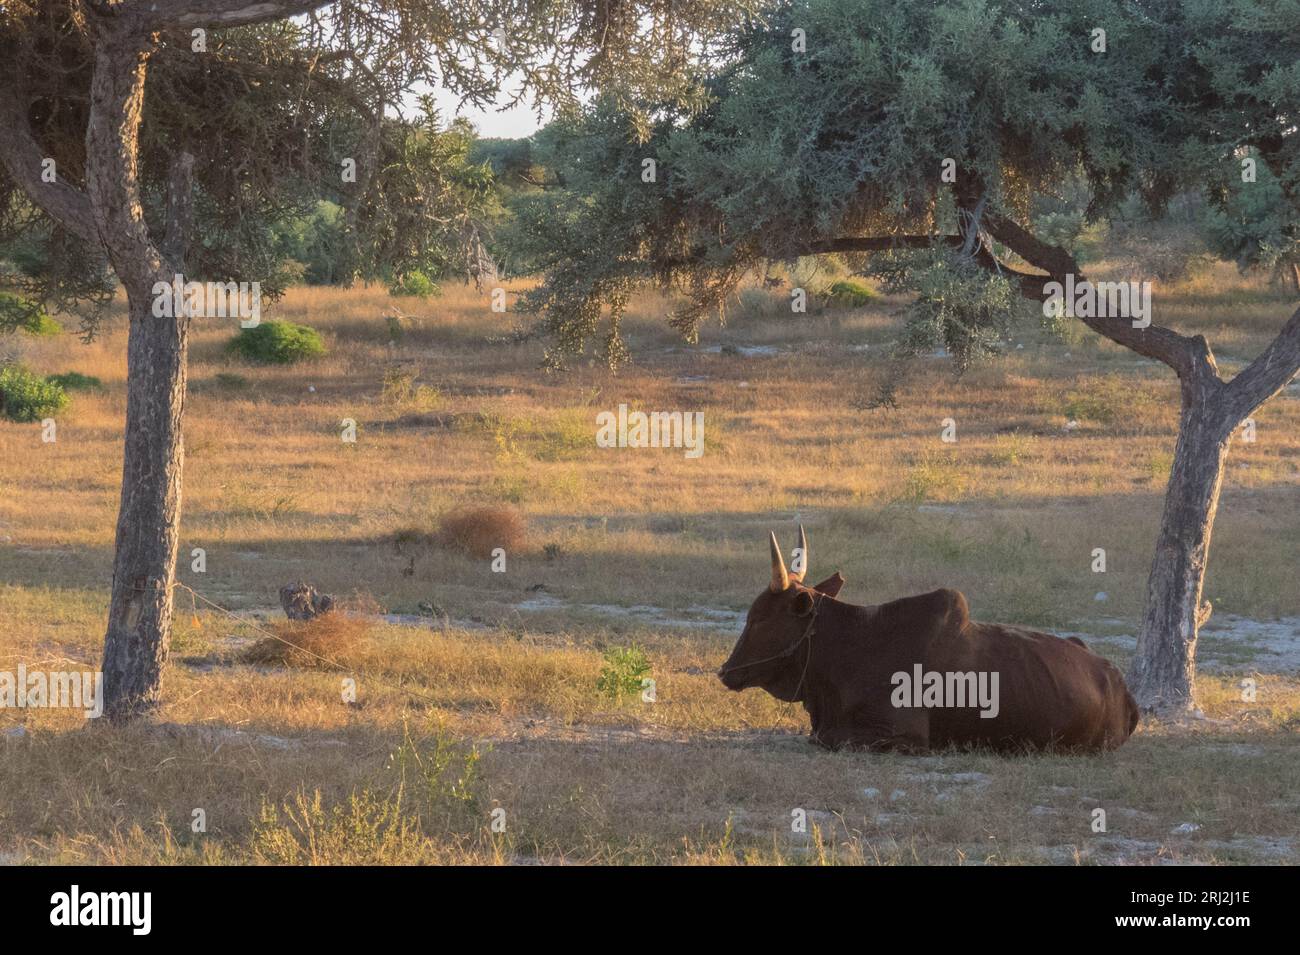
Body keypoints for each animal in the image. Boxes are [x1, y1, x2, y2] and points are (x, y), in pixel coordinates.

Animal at [718, 528, 1139, 754]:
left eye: (759, 617)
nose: (725, 671)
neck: (850, 646)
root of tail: (1121, 686)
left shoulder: (898, 736)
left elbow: (826, 739)